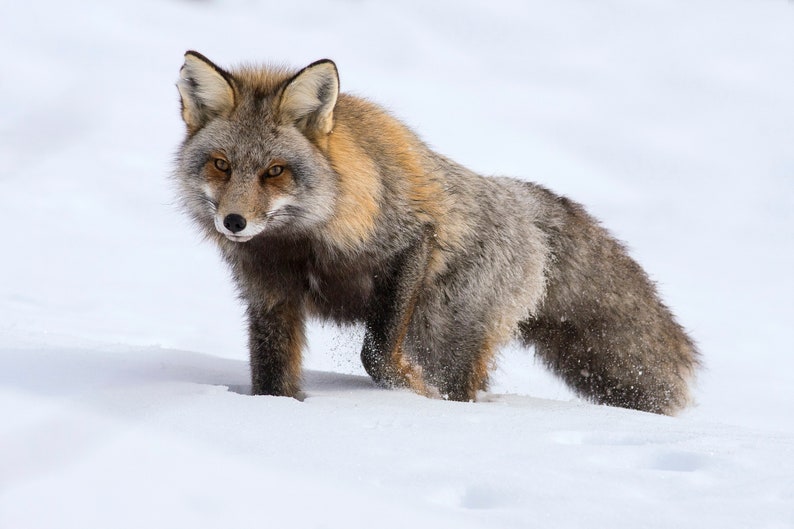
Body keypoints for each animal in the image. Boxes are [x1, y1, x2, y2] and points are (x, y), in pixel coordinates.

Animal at [173, 51, 700, 415]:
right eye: (221, 165)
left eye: (275, 171)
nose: (234, 222)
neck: (303, 242)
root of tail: (524, 202)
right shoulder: (270, 294)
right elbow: (272, 380)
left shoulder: (409, 241)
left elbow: (378, 356)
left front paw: (414, 393)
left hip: (444, 333)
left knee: (459, 384)